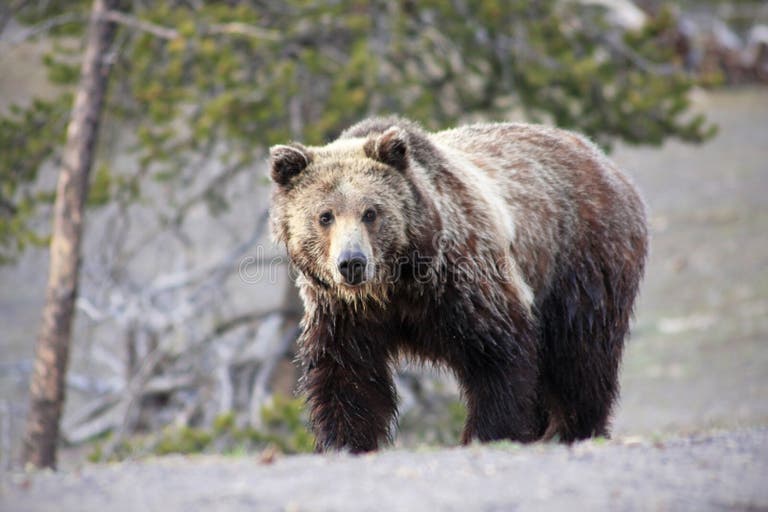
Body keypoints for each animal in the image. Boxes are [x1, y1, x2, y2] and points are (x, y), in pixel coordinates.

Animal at [269, 116, 648, 453]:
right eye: (325, 216)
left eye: (371, 212)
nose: (352, 263)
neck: (397, 284)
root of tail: (604, 160)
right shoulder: (345, 314)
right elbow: (347, 378)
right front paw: (346, 442)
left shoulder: (464, 283)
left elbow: (499, 359)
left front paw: (488, 434)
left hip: (581, 263)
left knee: (581, 357)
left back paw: (575, 429)